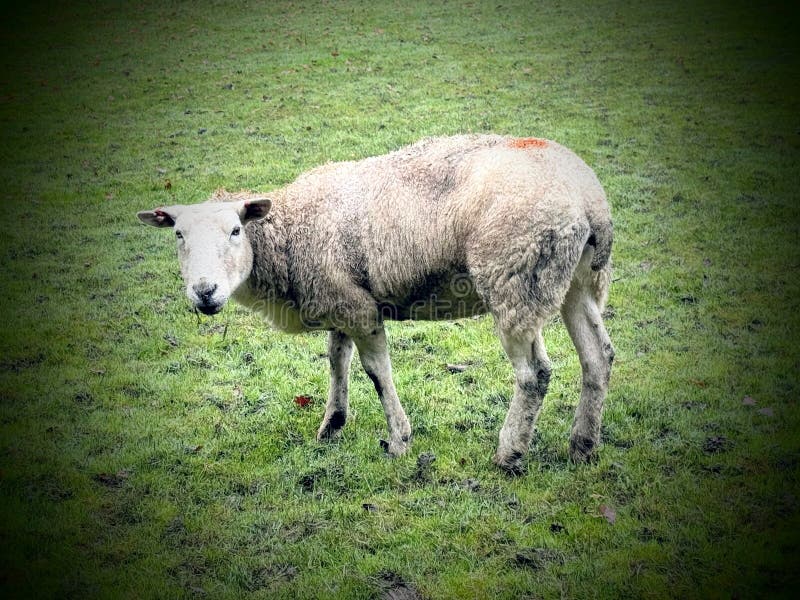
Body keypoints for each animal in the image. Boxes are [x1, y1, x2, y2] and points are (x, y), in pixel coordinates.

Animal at [137, 134, 614, 474]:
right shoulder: (339, 299)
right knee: (598, 357)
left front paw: (399, 440)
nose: (204, 292)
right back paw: (583, 445)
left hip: (516, 282)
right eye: (178, 234)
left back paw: (510, 452)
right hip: (578, 281)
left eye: (236, 230)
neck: (289, 235)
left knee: (534, 375)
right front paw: (331, 424)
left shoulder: (359, 309)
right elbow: (337, 360)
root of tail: (591, 201)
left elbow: (376, 372)